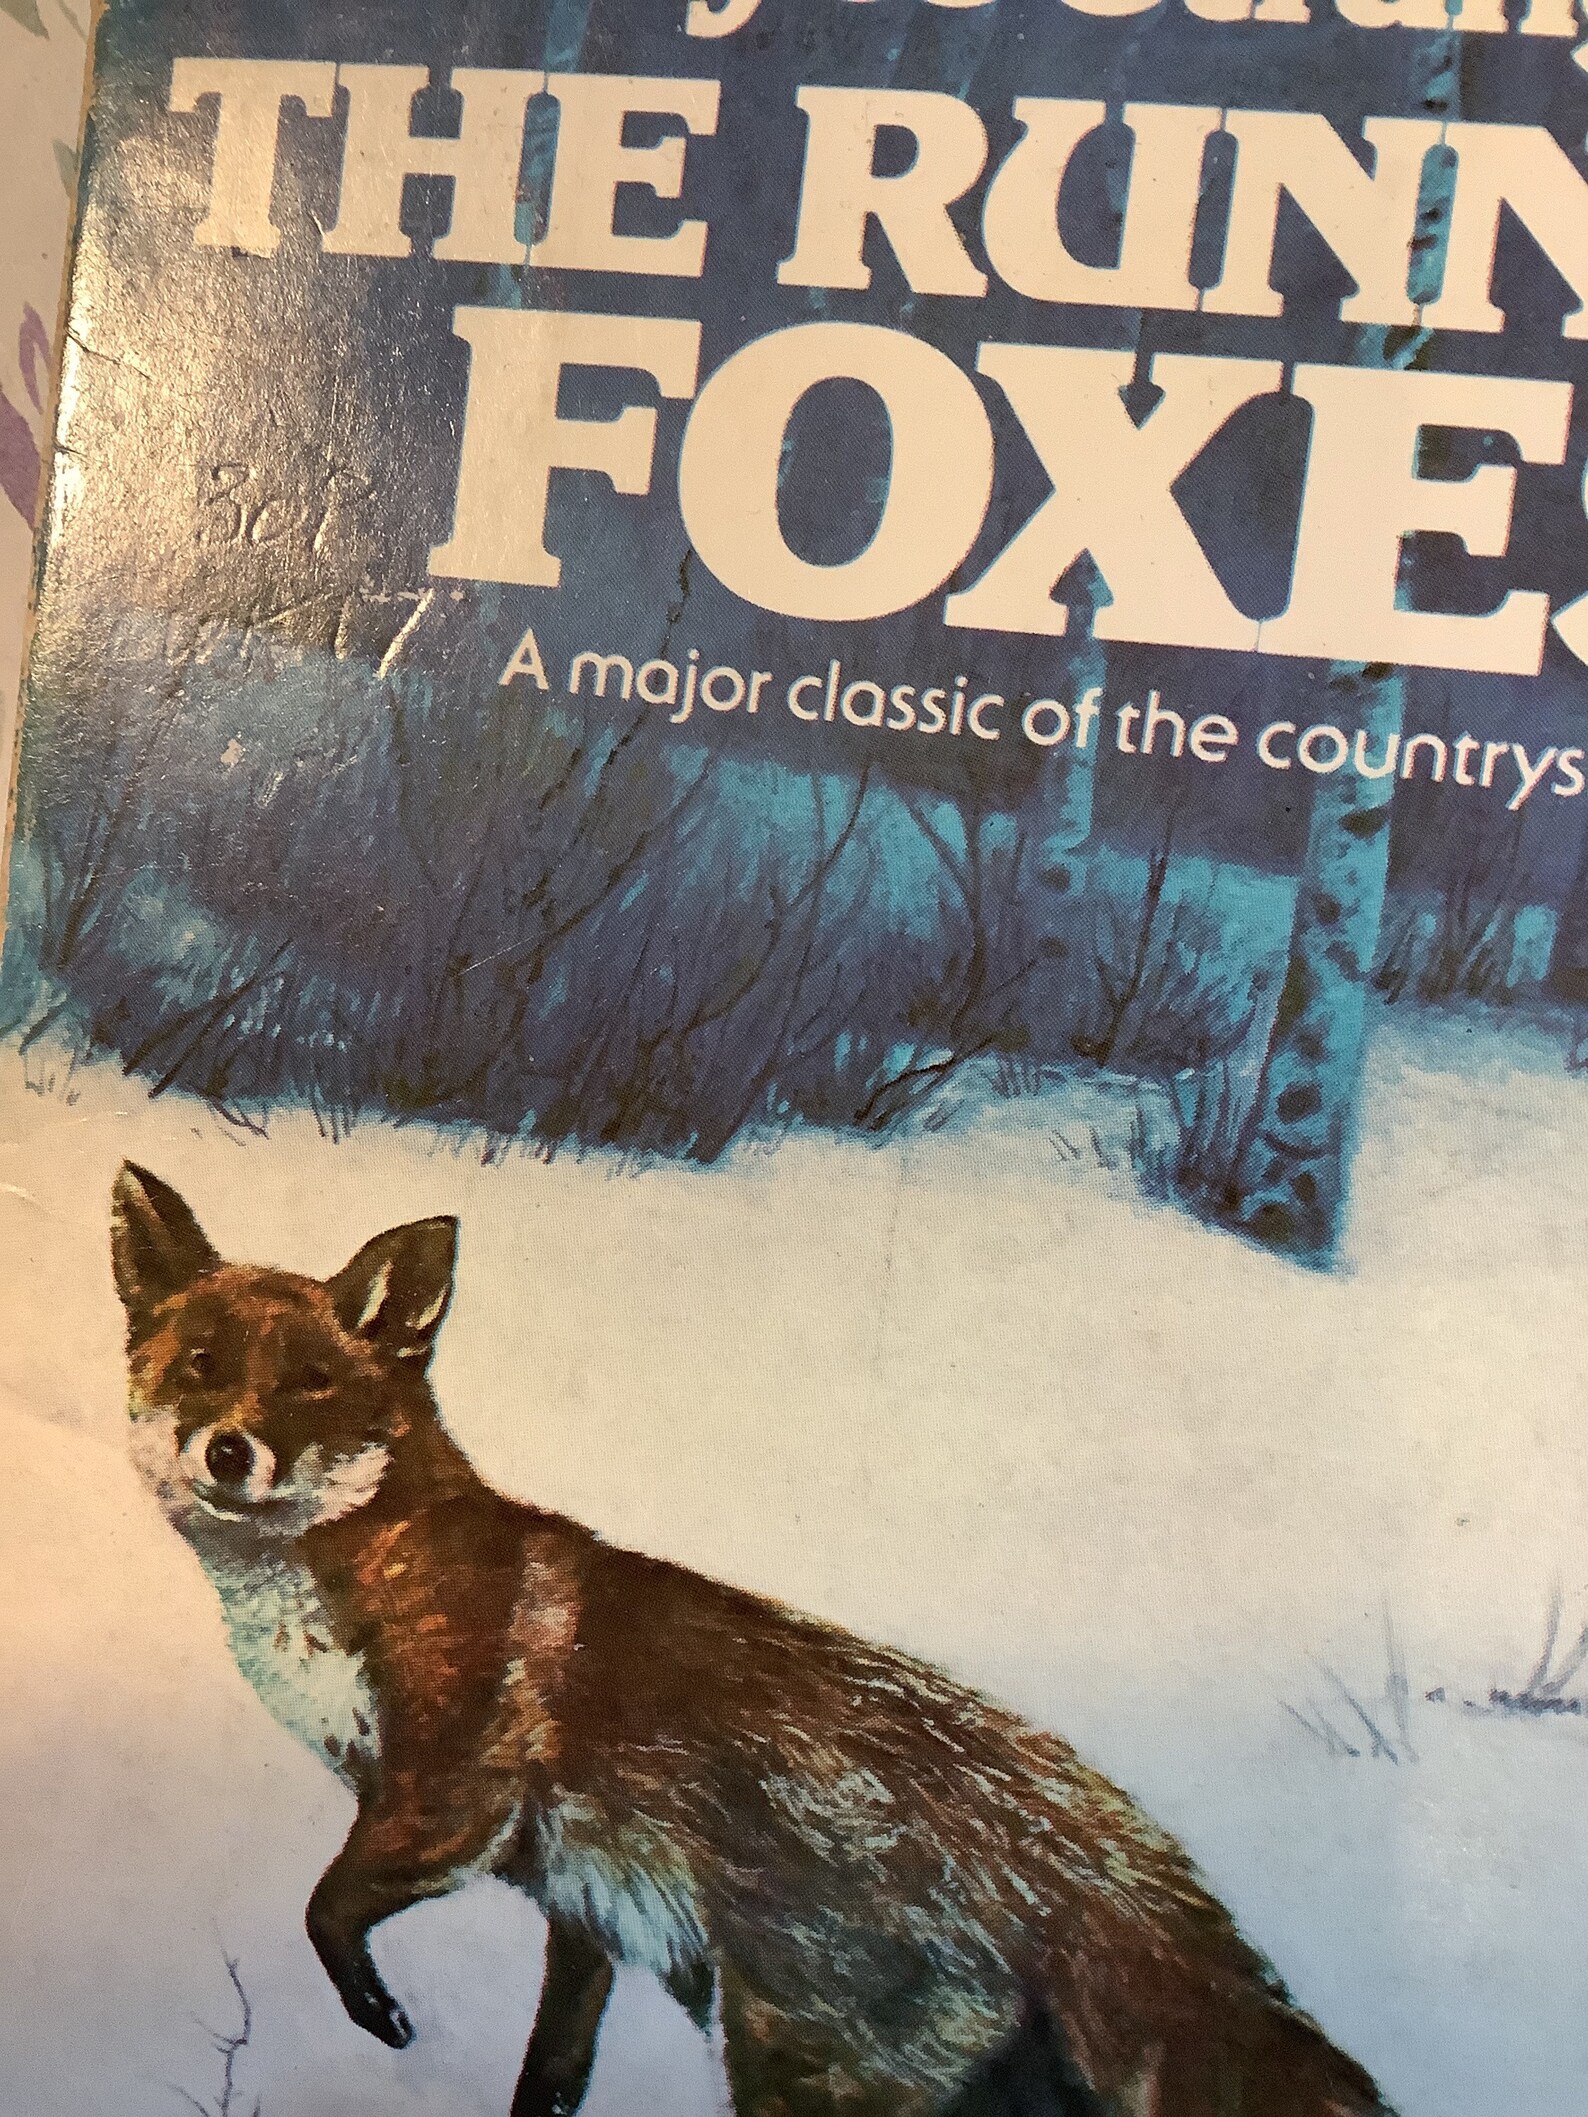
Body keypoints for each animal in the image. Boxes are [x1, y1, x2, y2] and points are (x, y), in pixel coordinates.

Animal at [113, 1160, 1394, 2117]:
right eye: (202, 1366)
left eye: (313, 1382)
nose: (227, 1449)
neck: (362, 1581)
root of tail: (1086, 1853)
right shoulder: (583, 1913)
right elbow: (553, 2069)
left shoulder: (451, 1802)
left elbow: (324, 1908)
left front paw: (381, 2017)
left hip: (794, 2062)